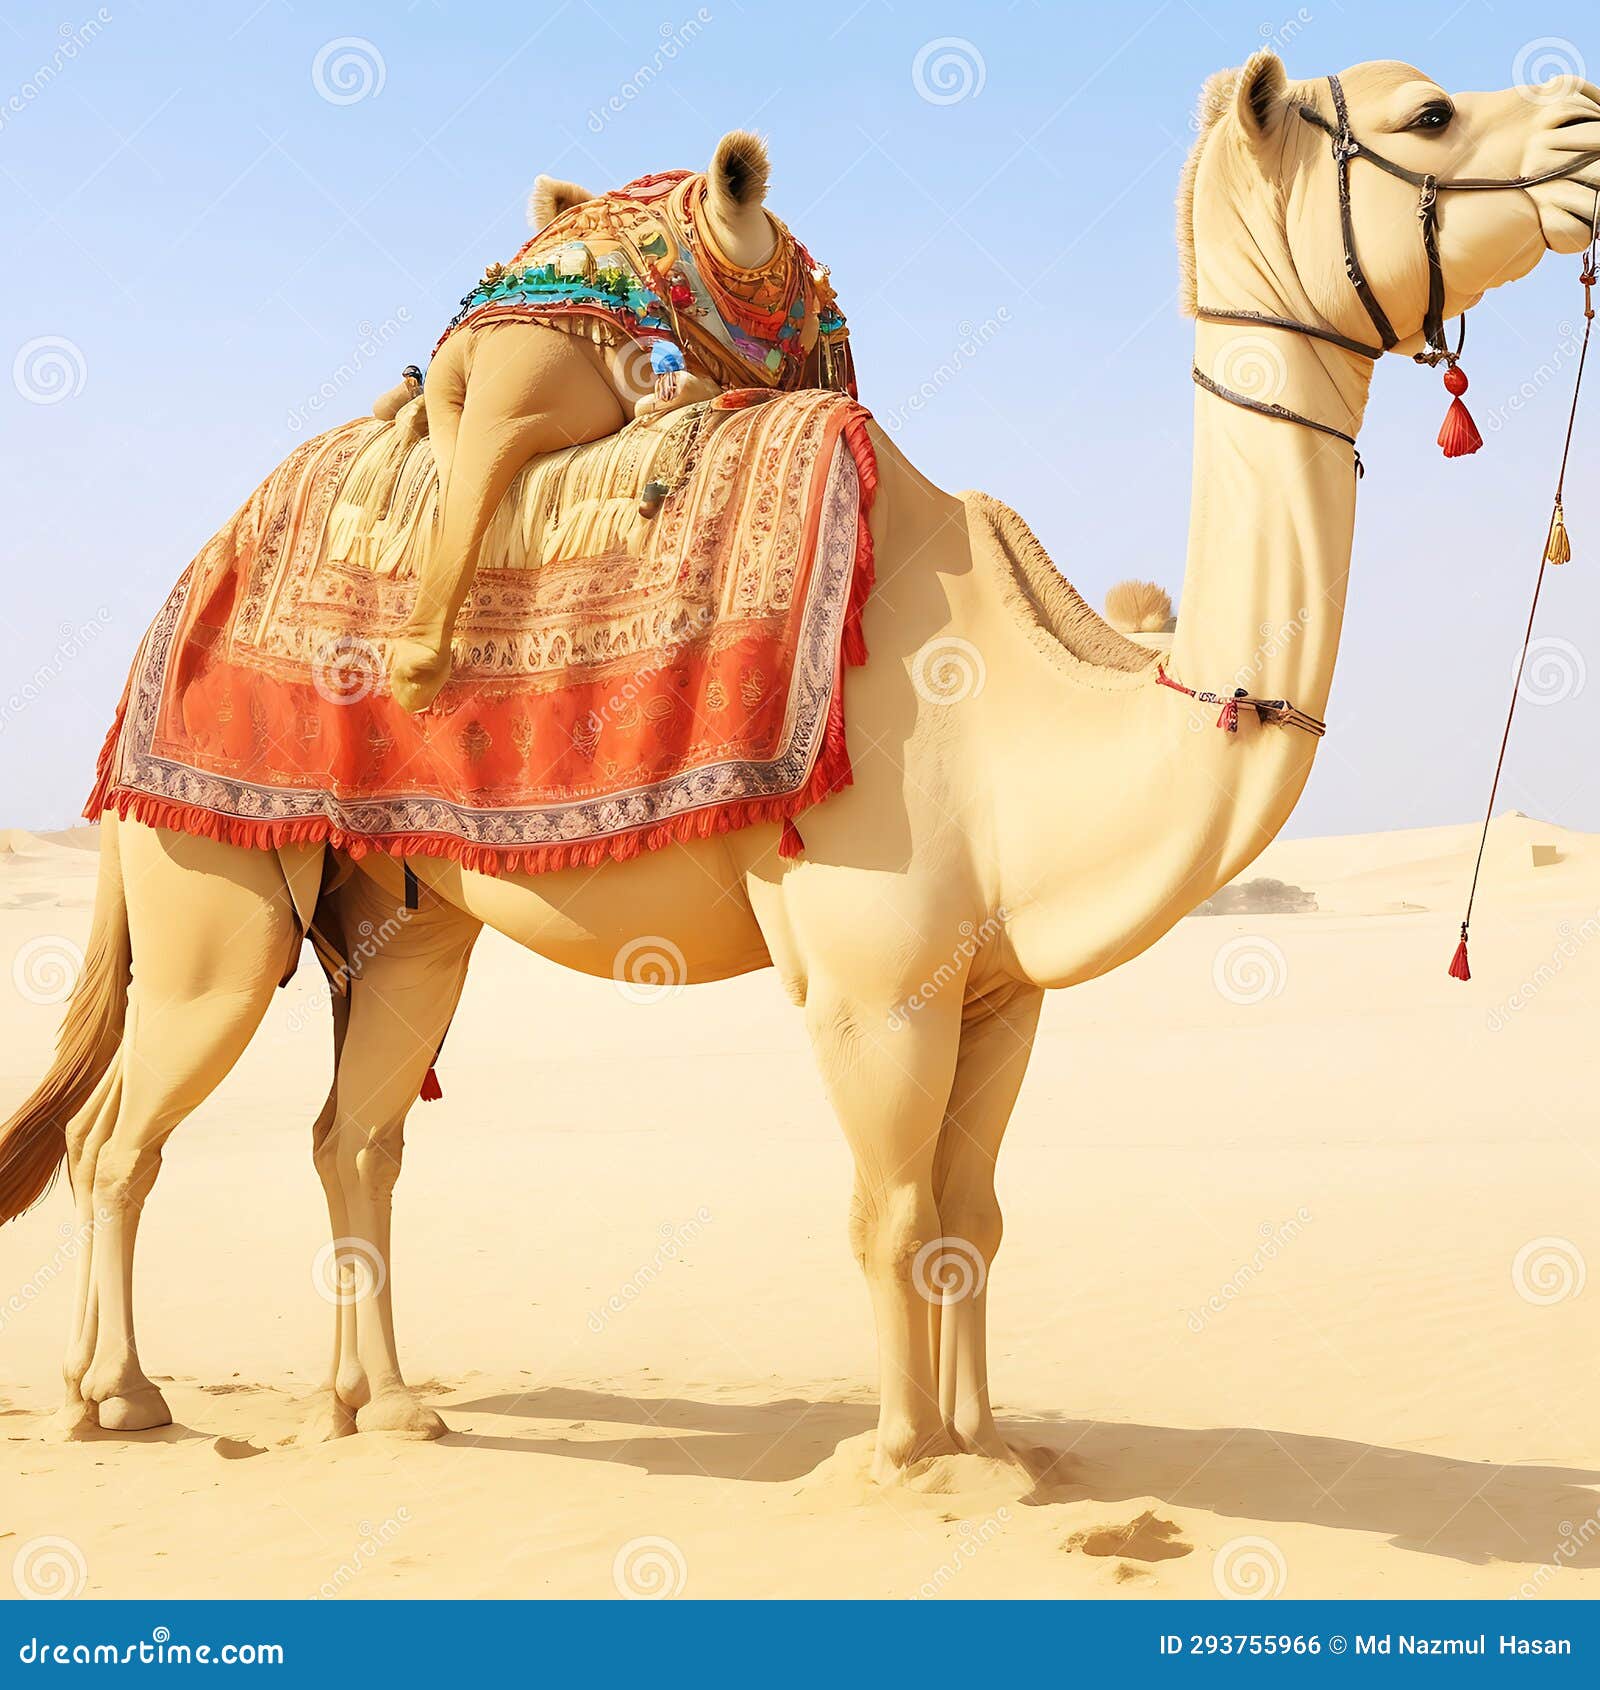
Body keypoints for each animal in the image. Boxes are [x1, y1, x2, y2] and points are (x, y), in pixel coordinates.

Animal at [3, 53, 1598, 1484]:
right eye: (1429, 111)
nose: (1583, 124)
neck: (1038, 711)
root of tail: (172, 604)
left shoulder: (996, 990)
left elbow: (972, 1213)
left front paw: (995, 1455)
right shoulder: (869, 977)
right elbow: (889, 1211)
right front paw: (896, 1459)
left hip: (407, 919)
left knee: (357, 1132)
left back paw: (376, 1409)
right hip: (206, 884)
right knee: (117, 1134)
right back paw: (118, 1402)